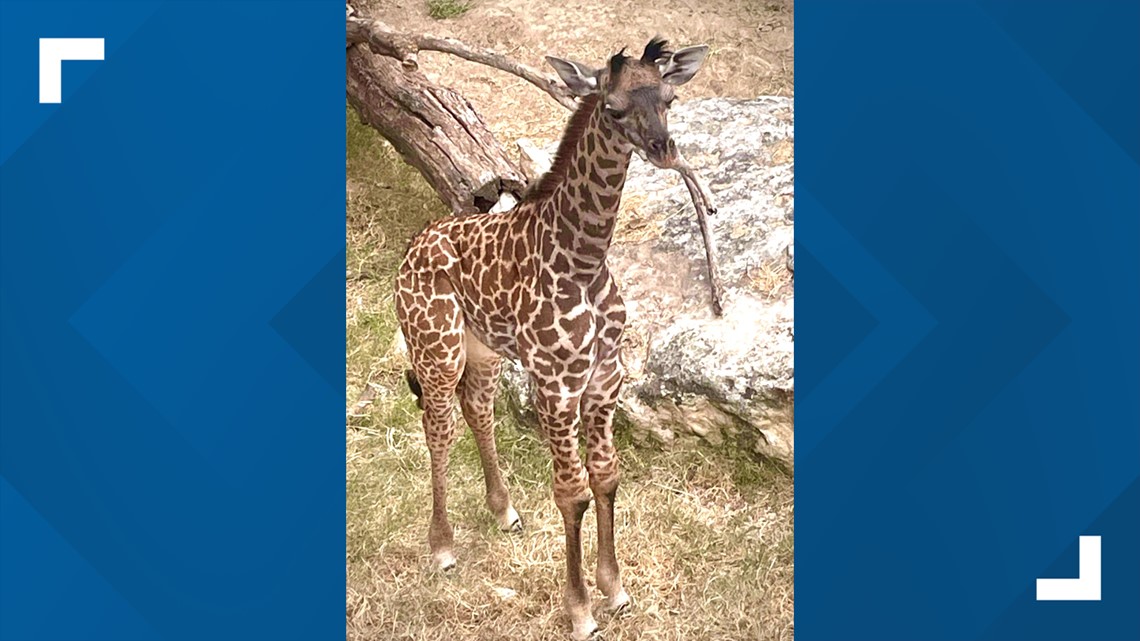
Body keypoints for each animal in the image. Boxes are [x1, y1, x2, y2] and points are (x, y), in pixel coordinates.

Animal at [393, 37, 709, 640]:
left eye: (670, 98)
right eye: (613, 108)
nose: (662, 149)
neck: (583, 261)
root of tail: (410, 250)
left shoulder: (604, 380)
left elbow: (606, 477)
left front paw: (615, 590)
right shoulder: (556, 386)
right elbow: (572, 492)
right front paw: (581, 609)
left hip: (484, 351)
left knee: (478, 409)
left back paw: (504, 511)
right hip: (435, 345)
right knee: (437, 427)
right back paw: (442, 548)